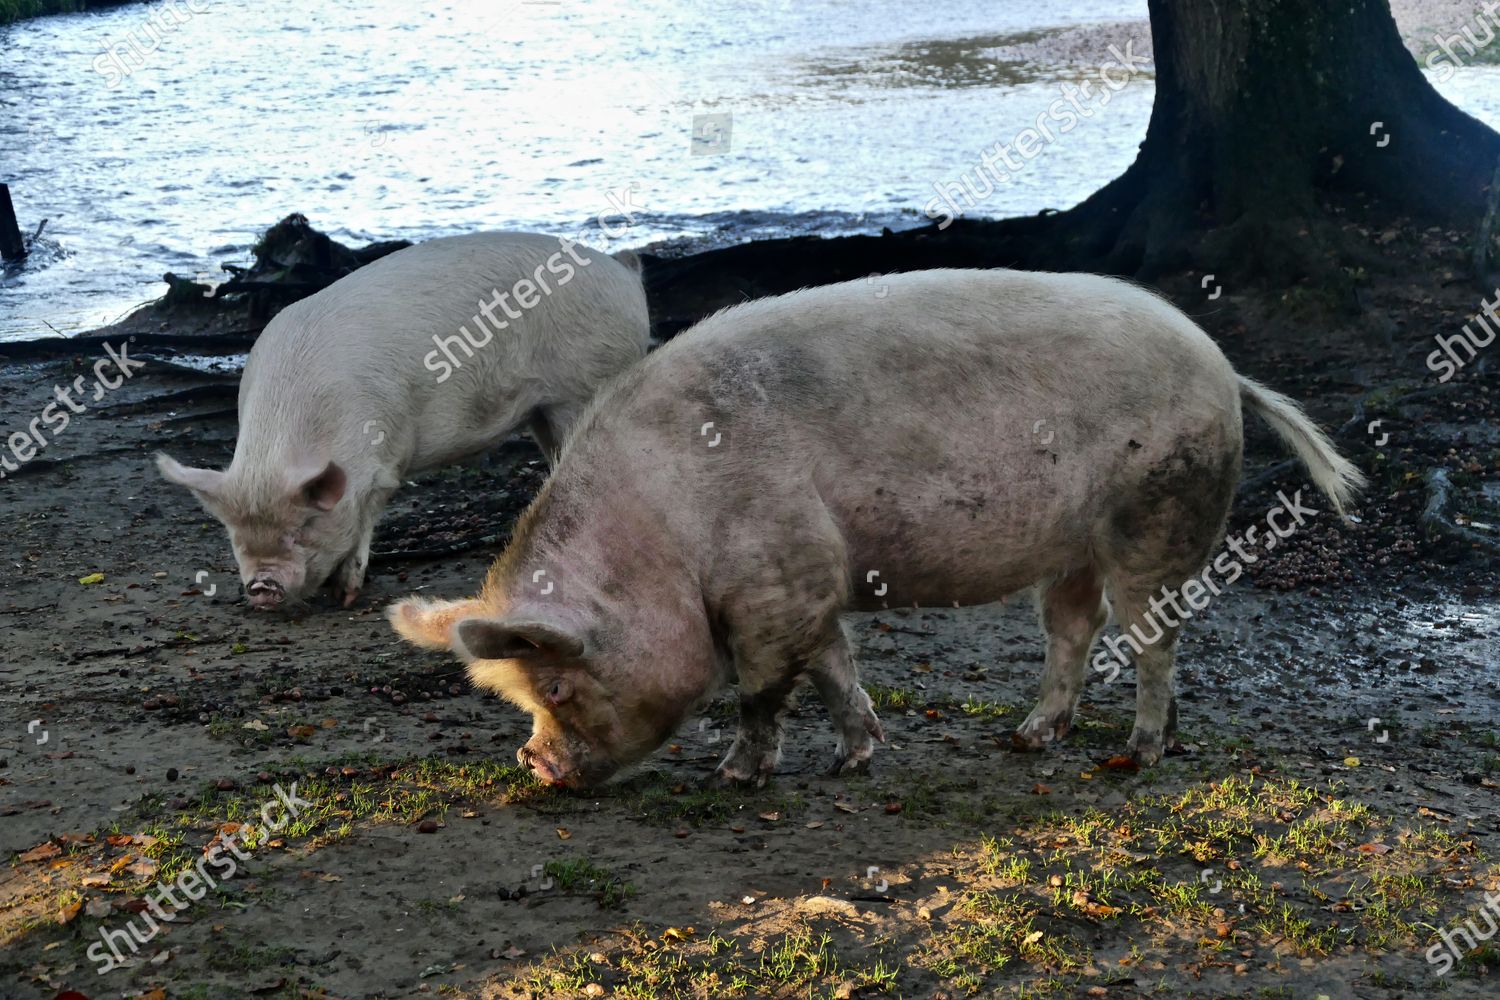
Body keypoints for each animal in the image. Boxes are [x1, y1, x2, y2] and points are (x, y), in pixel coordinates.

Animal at [156, 231, 650, 610]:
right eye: (235, 534)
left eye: (303, 528)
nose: (262, 586)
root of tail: (624, 273)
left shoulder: (383, 459)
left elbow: (367, 517)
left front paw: (346, 595)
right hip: (544, 411)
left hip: (585, 386)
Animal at [388, 268, 1364, 787]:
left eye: (554, 686)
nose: (532, 763)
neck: (661, 535)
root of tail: (1227, 369)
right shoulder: (808, 588)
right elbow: (834, 668)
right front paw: (858, 757)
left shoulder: (774, 582)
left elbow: (762, 690)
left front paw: (735, 776)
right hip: (1075, 546)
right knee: (1072, 633)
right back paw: (1025, 737)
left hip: (1155, 519)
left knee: (1154, 639)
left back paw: (1138, 754)